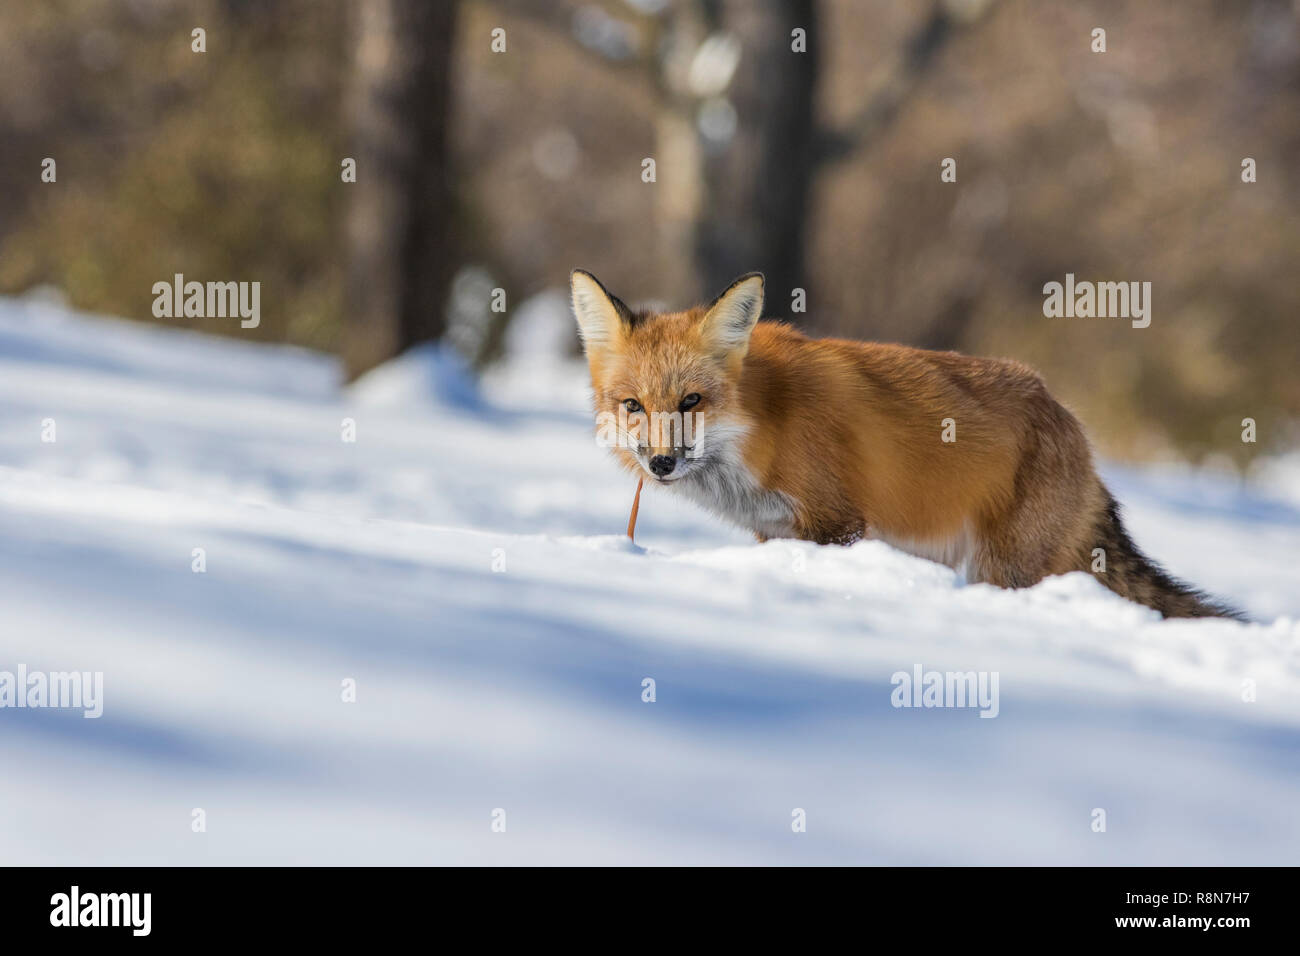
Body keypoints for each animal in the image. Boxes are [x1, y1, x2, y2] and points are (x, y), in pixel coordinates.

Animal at [570, 268, 1244, 620]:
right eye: (633, 406)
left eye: (691, 402)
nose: (661, 463)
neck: (763, 425)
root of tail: (1070, 421)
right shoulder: (776, 532)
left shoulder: (840, 525)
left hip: (1004, 569)